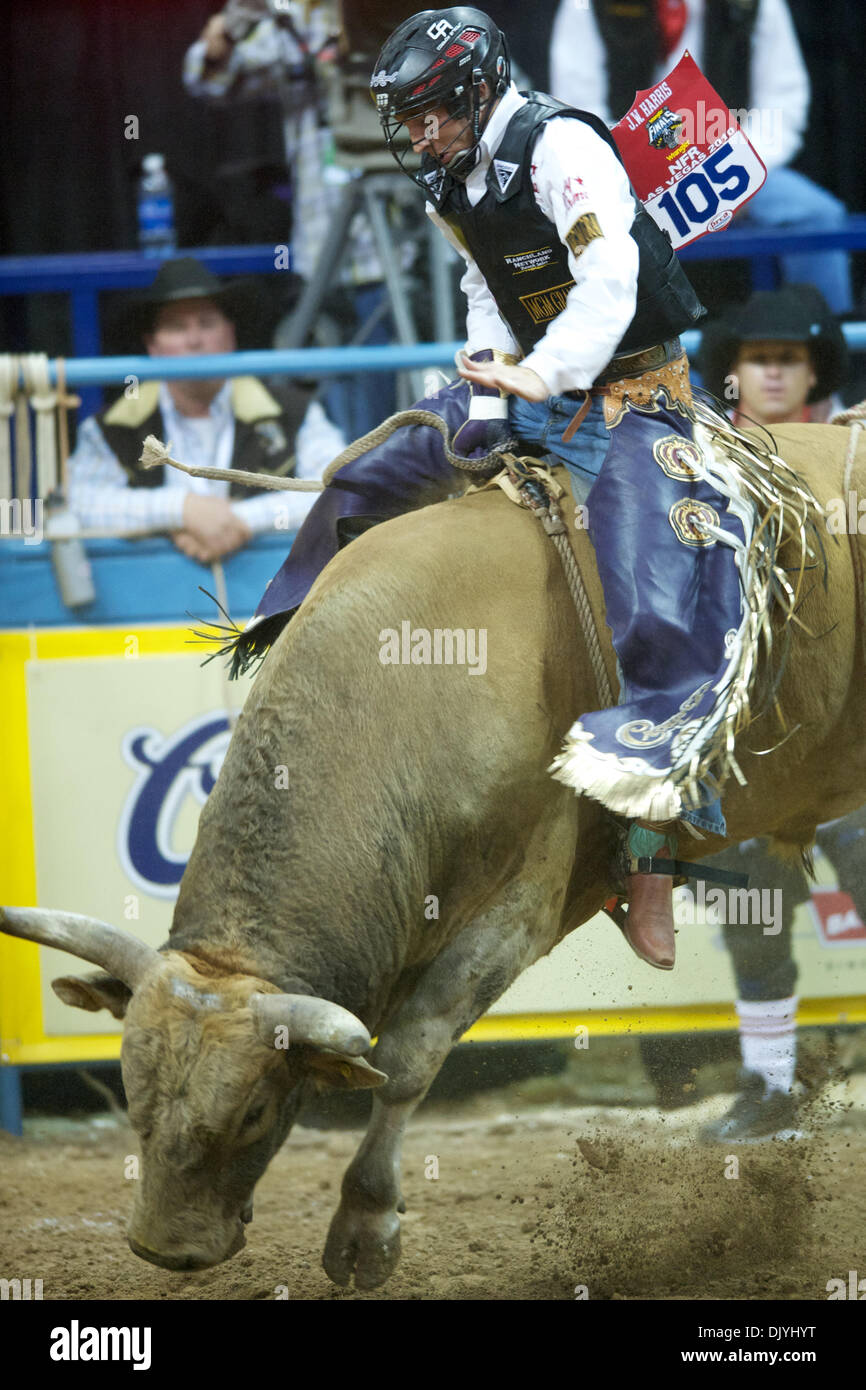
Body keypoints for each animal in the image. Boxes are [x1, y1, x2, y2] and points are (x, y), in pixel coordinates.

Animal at [3, 420, 866, 1291]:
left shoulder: (519, 907)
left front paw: (365, 1224)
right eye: (131, 1088)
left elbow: (411, 1054)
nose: (165, 1246)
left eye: (252, 1110)